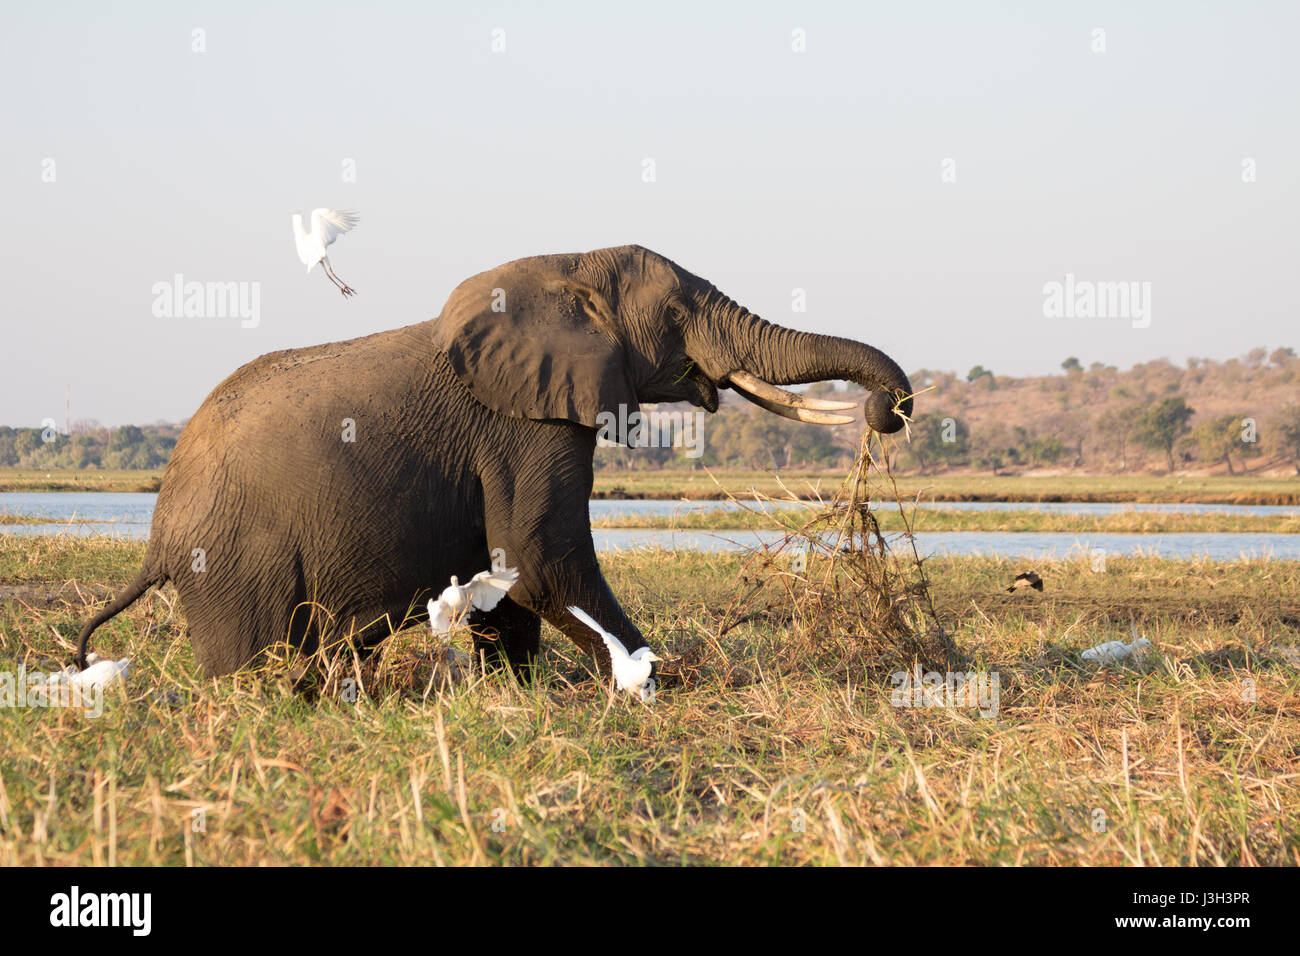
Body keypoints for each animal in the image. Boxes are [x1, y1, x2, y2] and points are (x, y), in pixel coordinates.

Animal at [76, 245, 913, 678]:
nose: (886, 412)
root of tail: (156, 535)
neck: (568, 266)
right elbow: (541, 559)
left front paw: (517, 690)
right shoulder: (521, 425)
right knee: (252, 659)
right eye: (679, 313)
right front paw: (652, 680)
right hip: (232, 559)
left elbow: (509, 574)